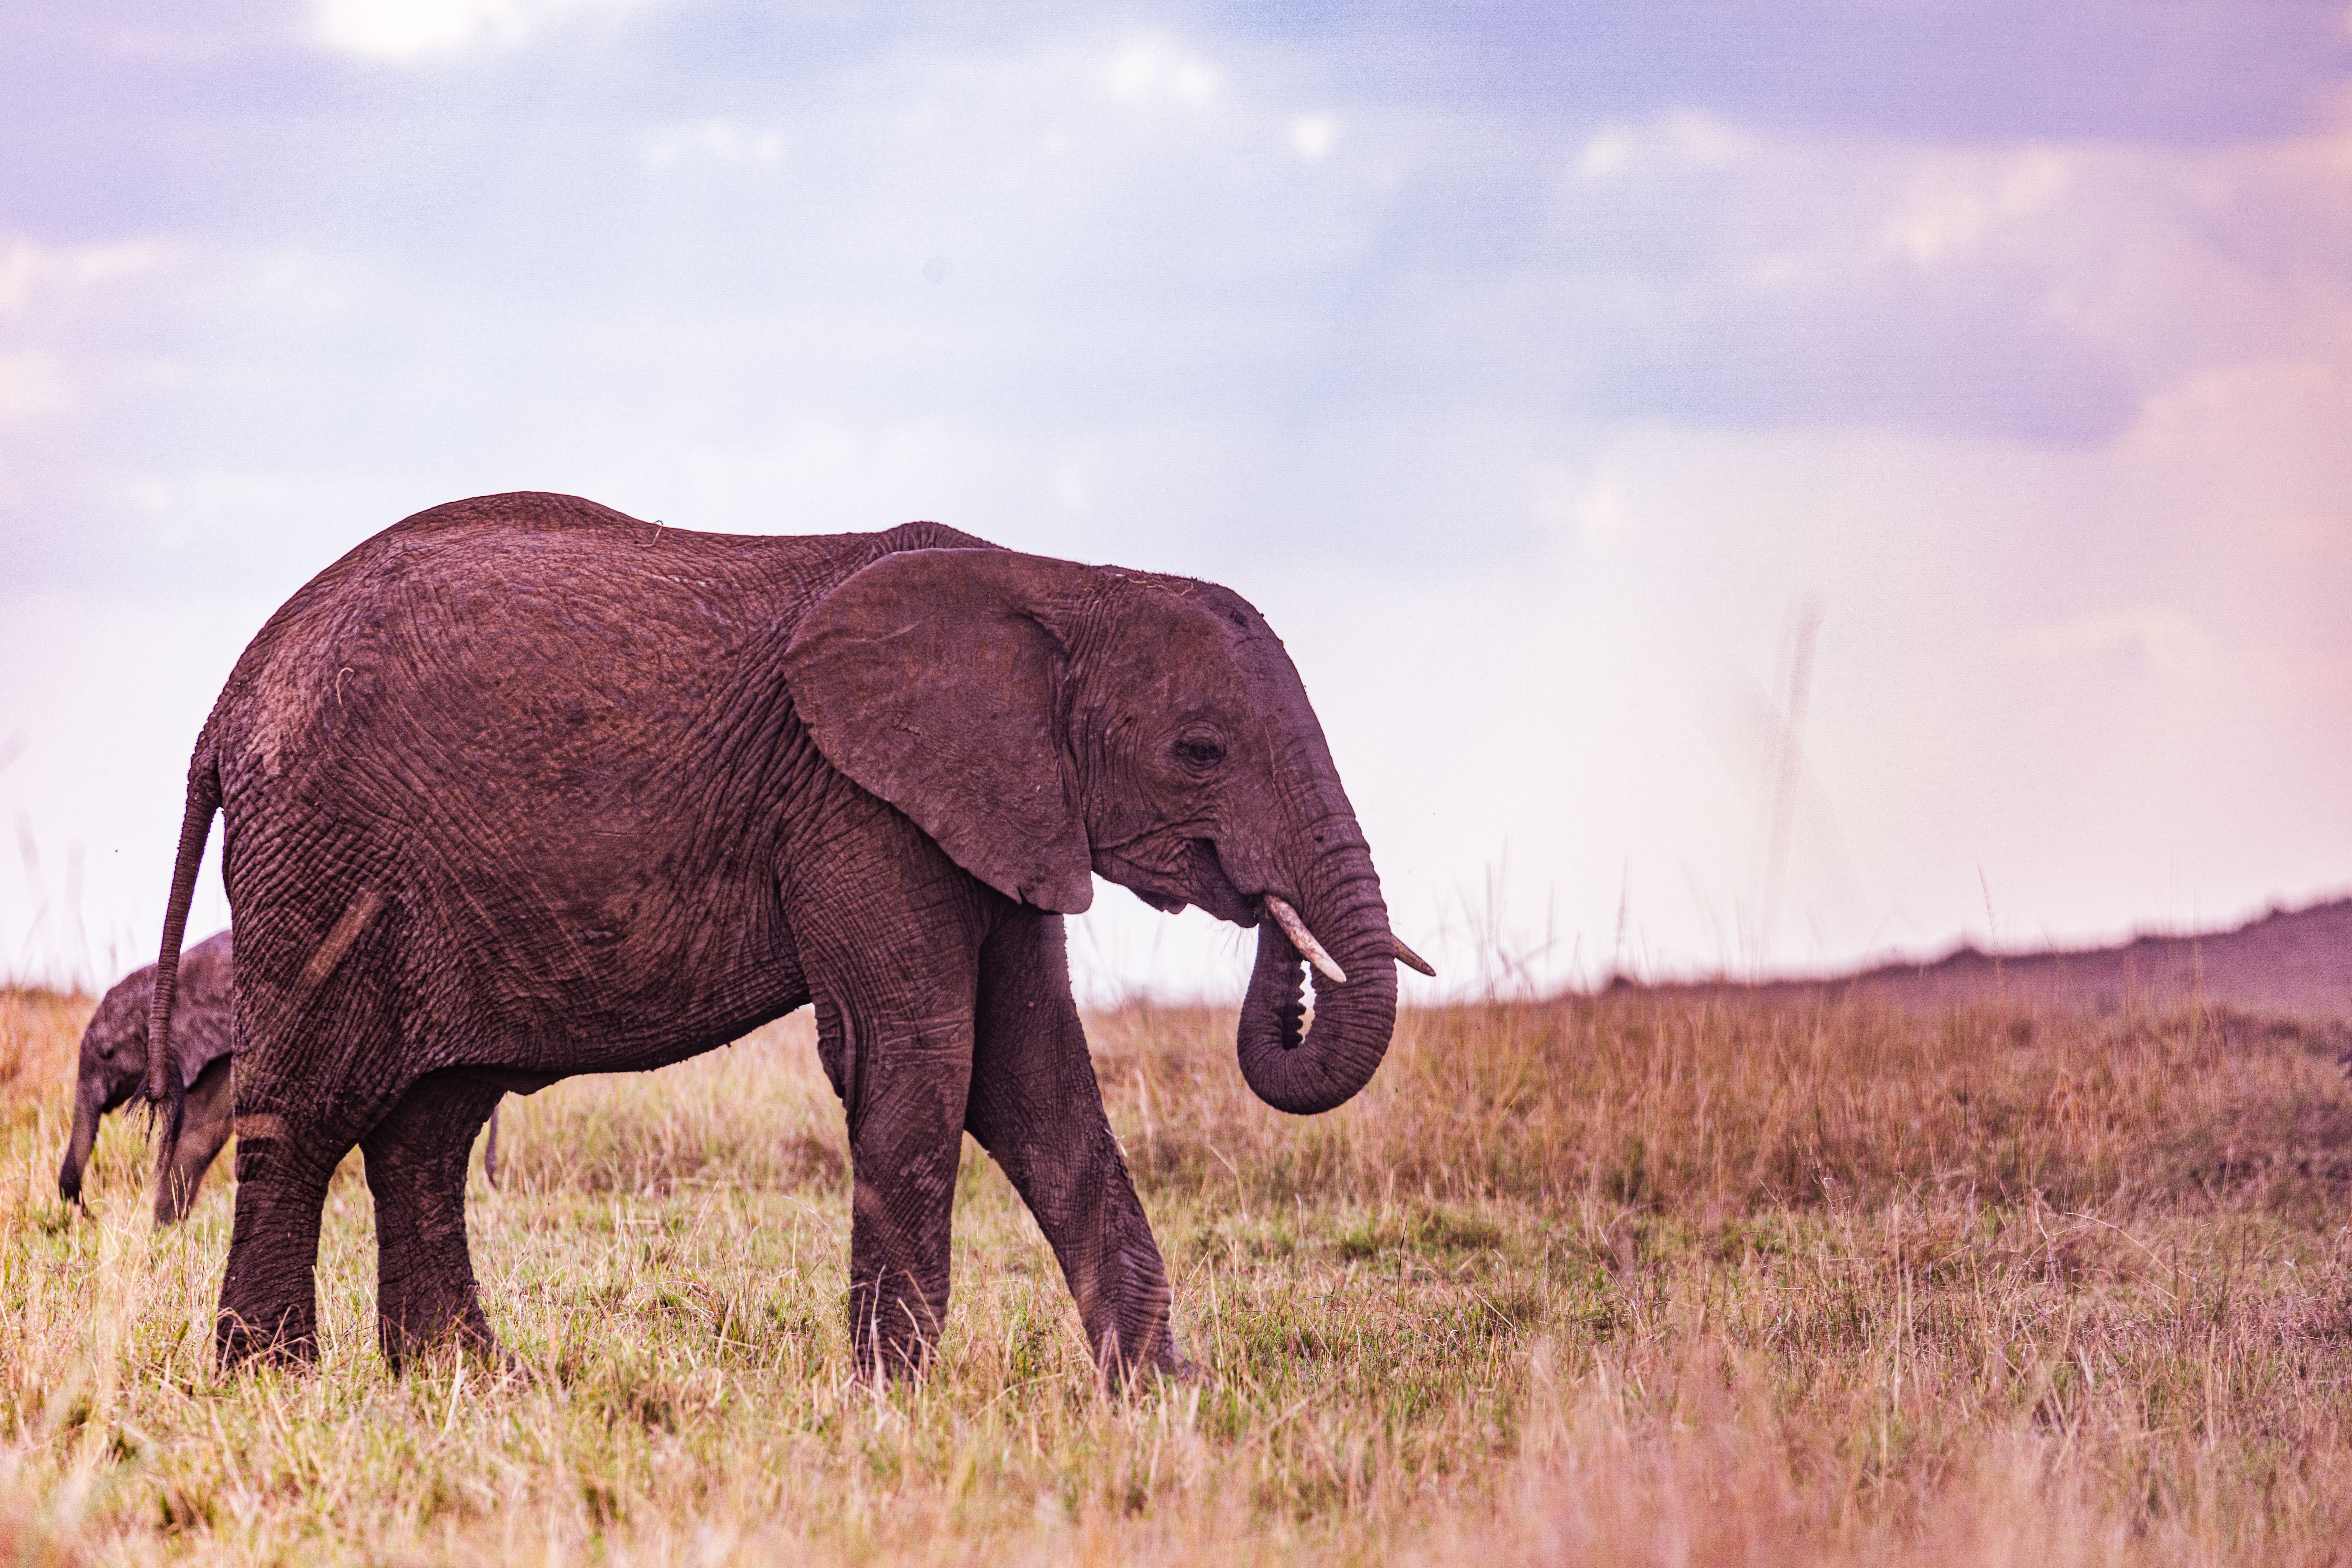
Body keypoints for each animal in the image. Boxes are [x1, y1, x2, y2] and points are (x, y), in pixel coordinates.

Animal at [143, 491, 1430, 1379]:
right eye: (1200, 751)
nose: (1272, 925)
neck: (1051, 581)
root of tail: (229, 699)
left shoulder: (997, 813)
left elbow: (1039, 1088)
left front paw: (1162, 1401)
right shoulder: (857, 804)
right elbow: (919, 1062)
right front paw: (892, 1403)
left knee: (429, 1127)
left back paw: (470, 1384)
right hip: (325, 853)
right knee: (307, 1112)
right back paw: (276, 1385)